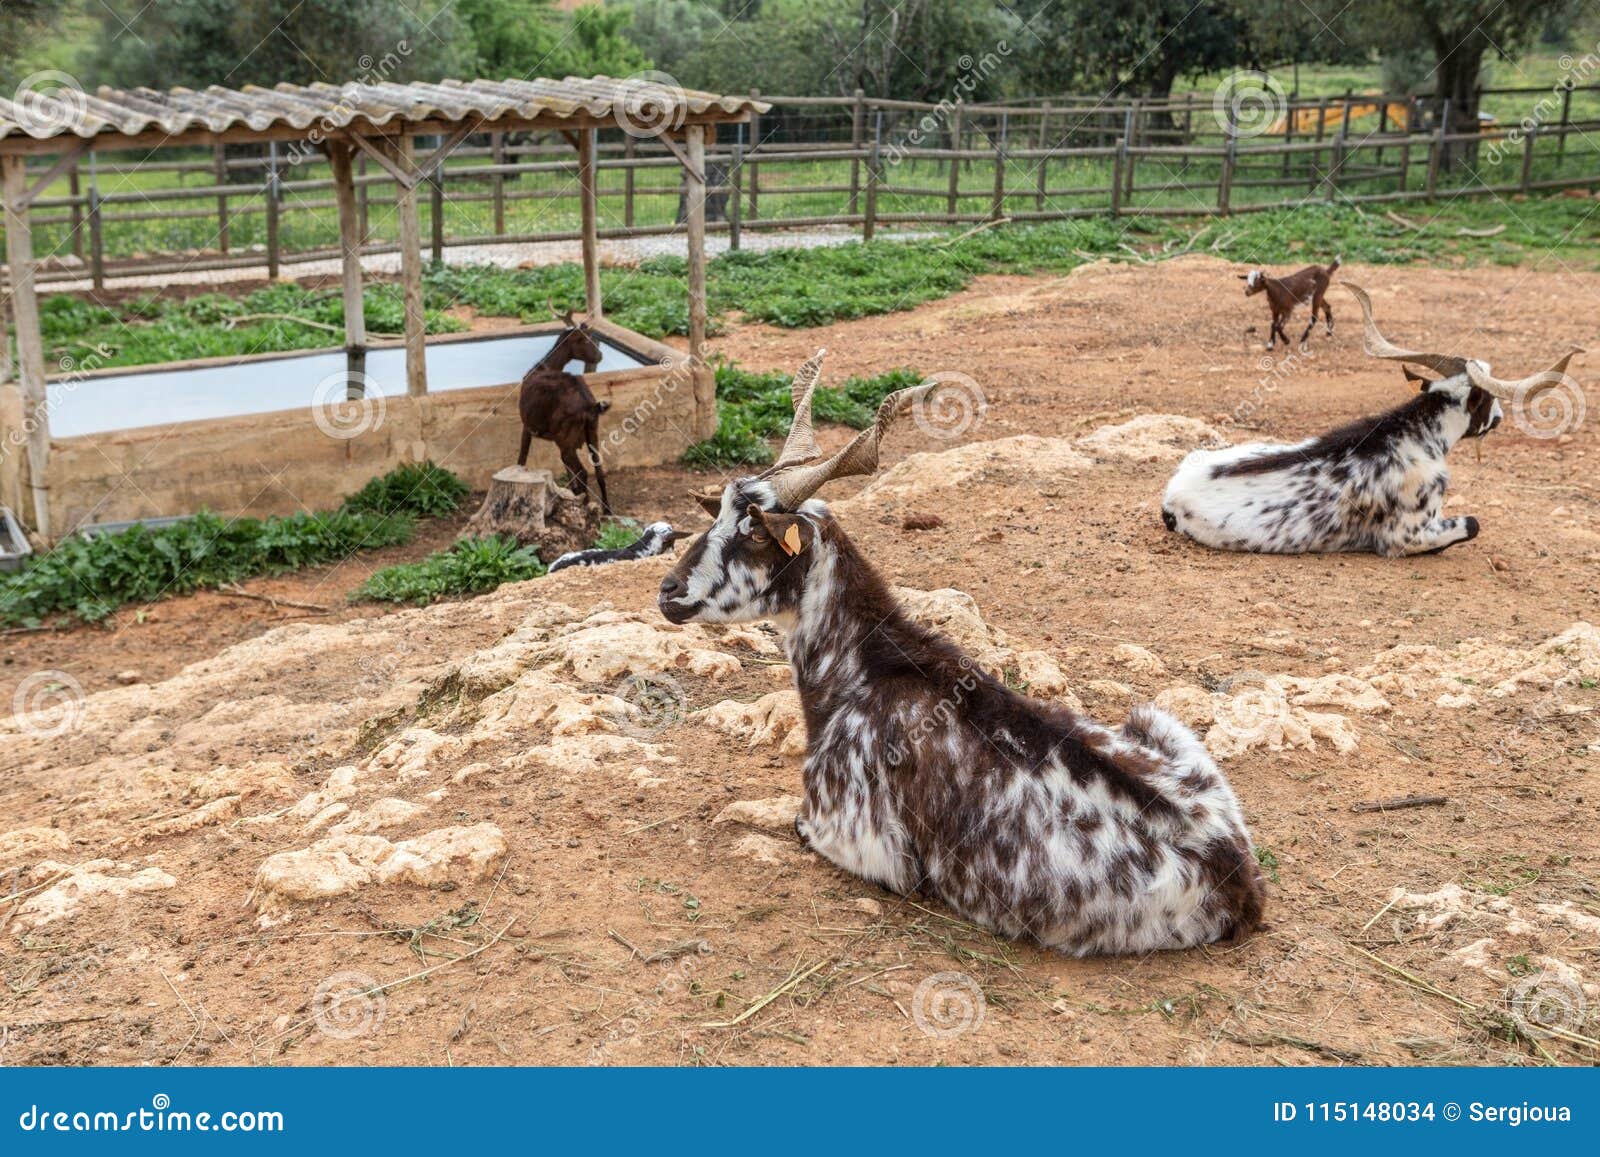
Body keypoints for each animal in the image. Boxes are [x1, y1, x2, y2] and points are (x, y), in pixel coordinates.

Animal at [517, 310, 611, 514]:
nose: (600, 355)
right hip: (591, 434)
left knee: (583, 473)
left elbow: (521, 458)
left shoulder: (528, 426)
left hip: (566, 440)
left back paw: (584, 507)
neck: (546, 365)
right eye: (584, 339)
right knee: (599, 470)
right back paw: (606, 510)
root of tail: (589, 407)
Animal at [658, 351, 1265, 956]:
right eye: (718, 515)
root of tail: (1240, 884)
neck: (863, 671)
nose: (668, 591)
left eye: (756, 533)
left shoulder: (859, 839)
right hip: (1158, 722)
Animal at [1163, 284, 1583, 557]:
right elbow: (1472, 524)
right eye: (1489, 400)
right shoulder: (1406, 535)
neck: (1413, 436)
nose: (1498, 417)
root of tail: (1172, 494)